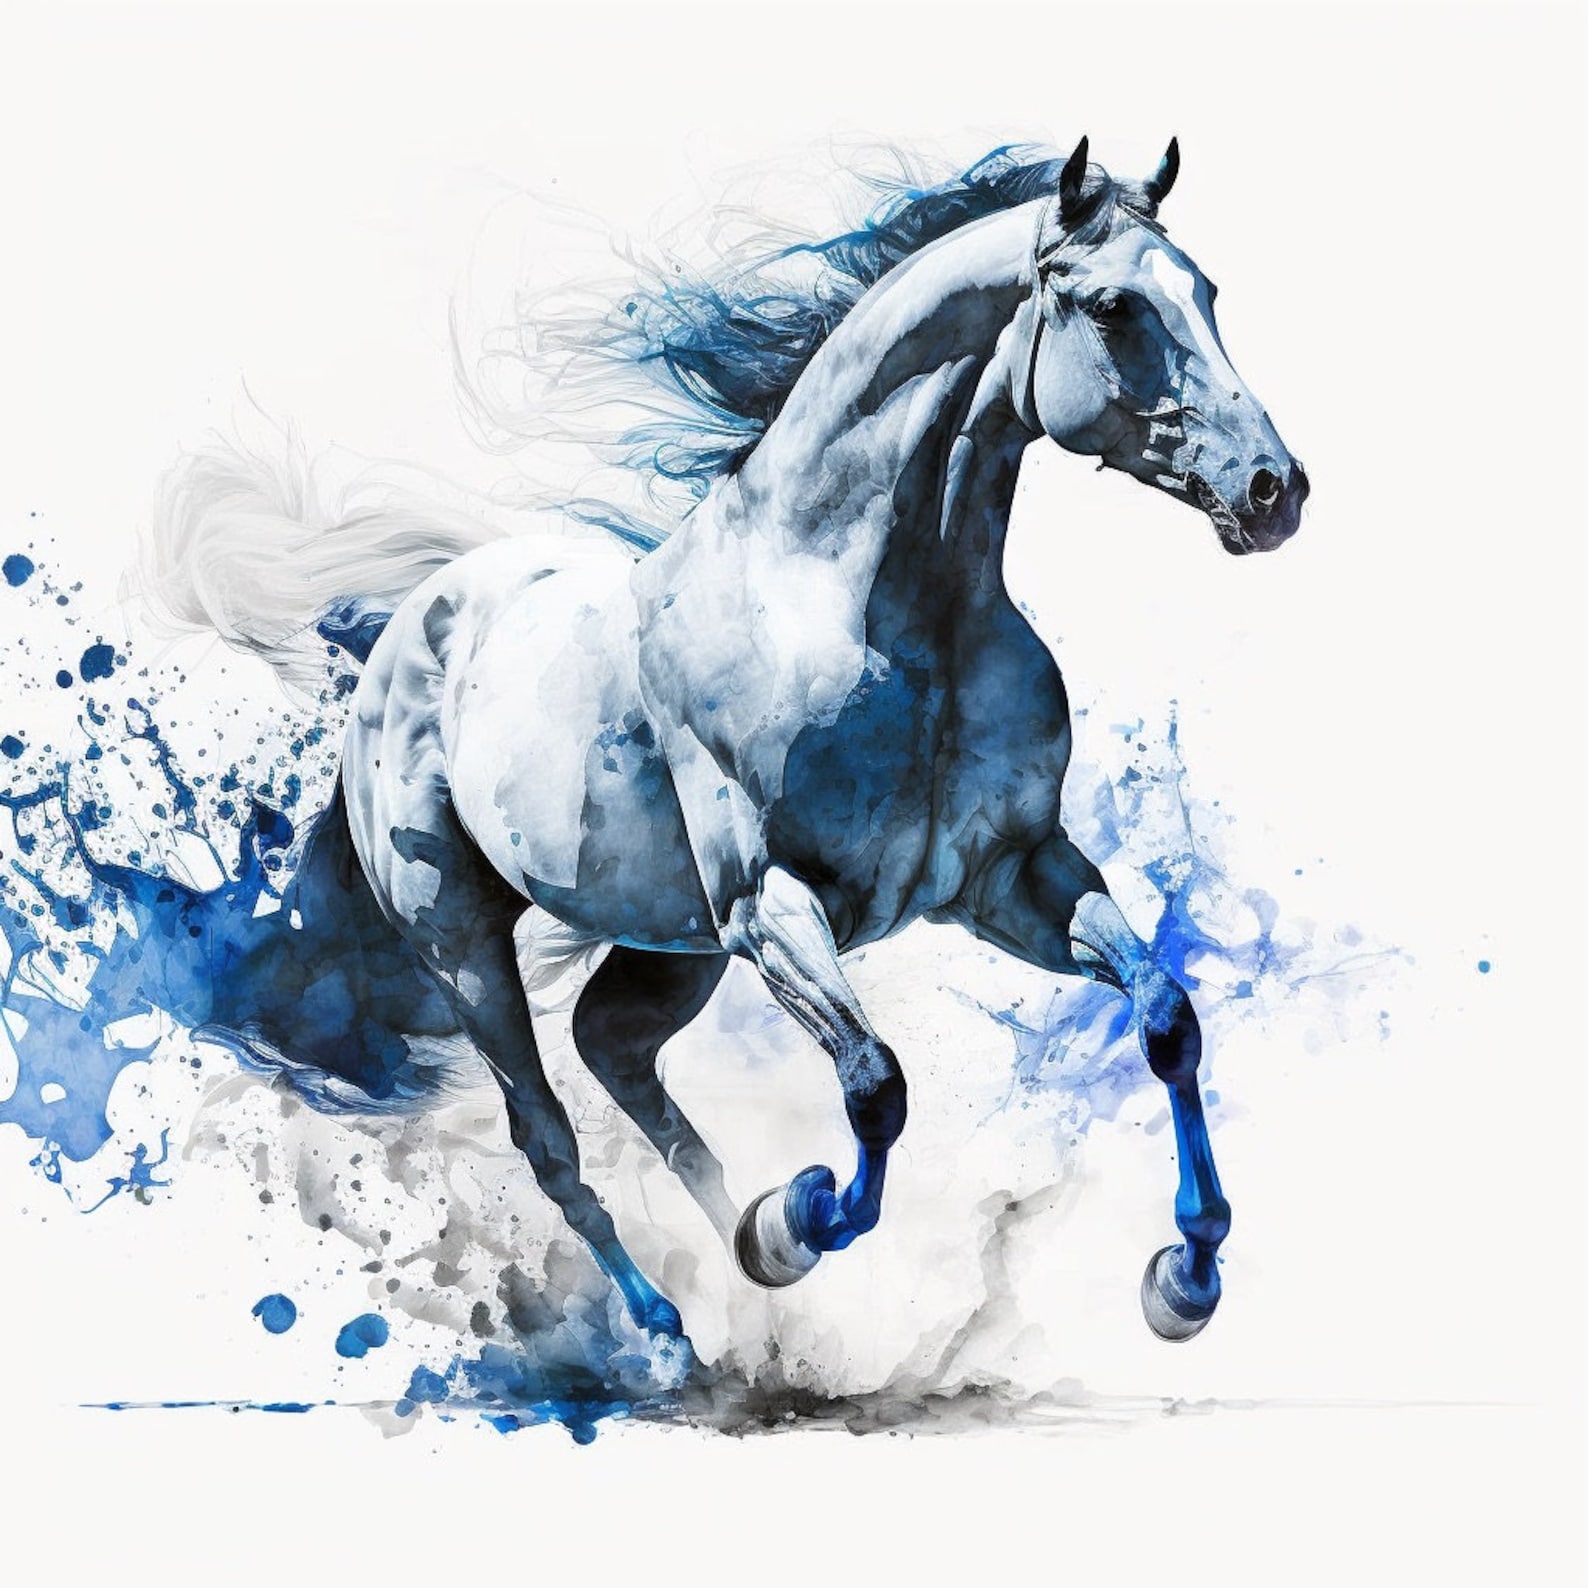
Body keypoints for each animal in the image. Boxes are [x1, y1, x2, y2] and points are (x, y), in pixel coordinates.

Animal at [149, 137, 1307, 1346]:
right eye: (1116, 305)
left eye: (1207, 293)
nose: (1274, 490)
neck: (868, 613)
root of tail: (399, 639)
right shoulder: (771, 905)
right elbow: (875, 1085)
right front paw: (805, 1213)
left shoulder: (1010, 876)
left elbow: (1166, 1016)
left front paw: (1186, 1277)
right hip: (466, 945)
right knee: (548, 1137)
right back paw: (671, 1320)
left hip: (672, 948)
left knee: (614, 1050)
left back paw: (747, 1256)